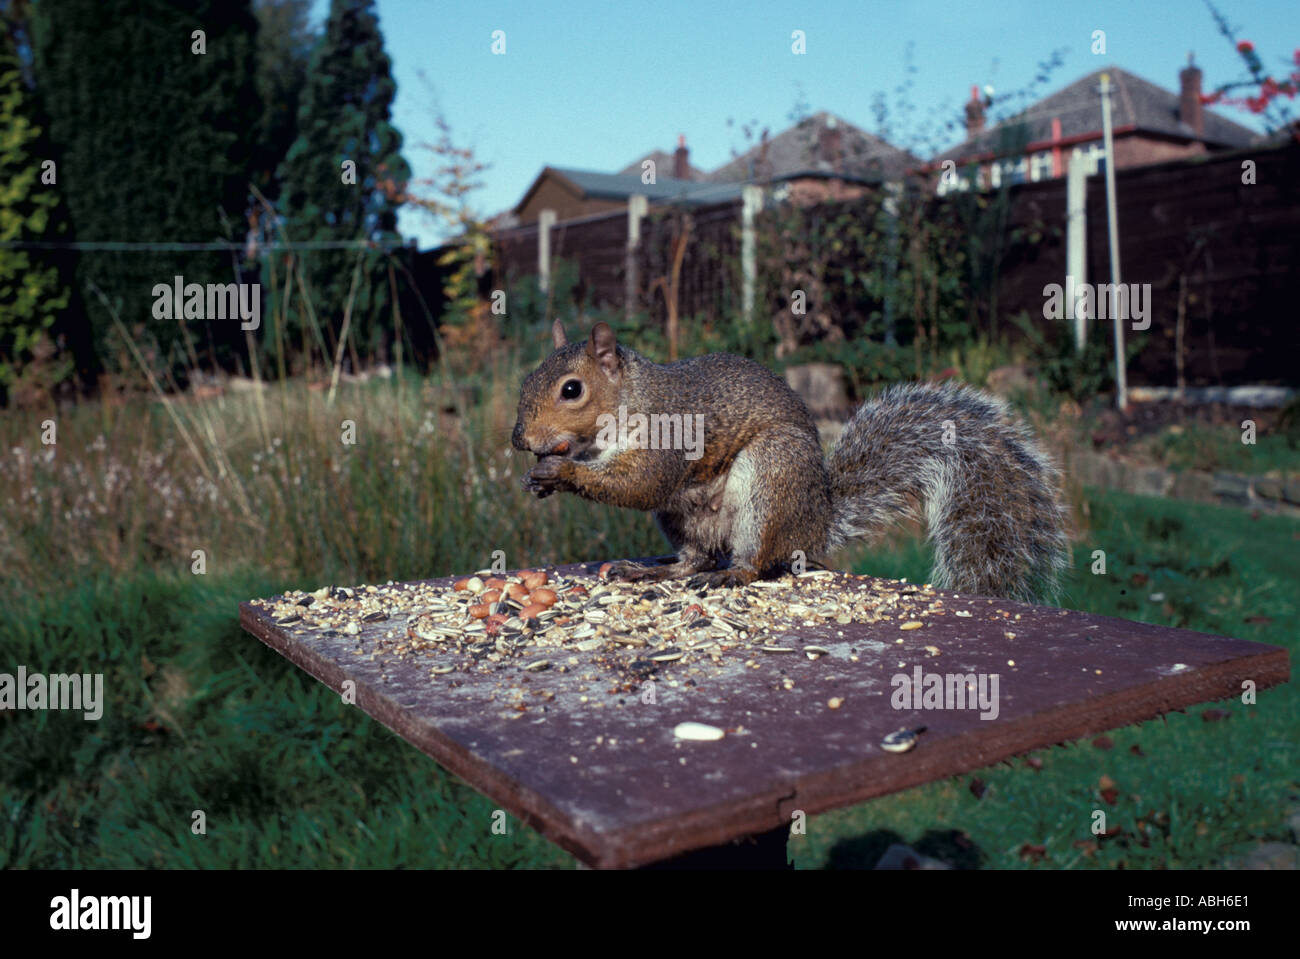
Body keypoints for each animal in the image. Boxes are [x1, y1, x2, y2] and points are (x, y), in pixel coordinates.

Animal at [512, 320, 1070, 601]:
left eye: (571, 390)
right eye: (528, 379)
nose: (520, 440)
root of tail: (815, 523)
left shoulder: (667, 435)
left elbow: (640, 484)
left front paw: (561, 472)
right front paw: (536, 480)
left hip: (771, 479)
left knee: (754, 562)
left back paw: (730, 575)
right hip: (682, 521)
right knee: (695, 556)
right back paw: (652, 573)